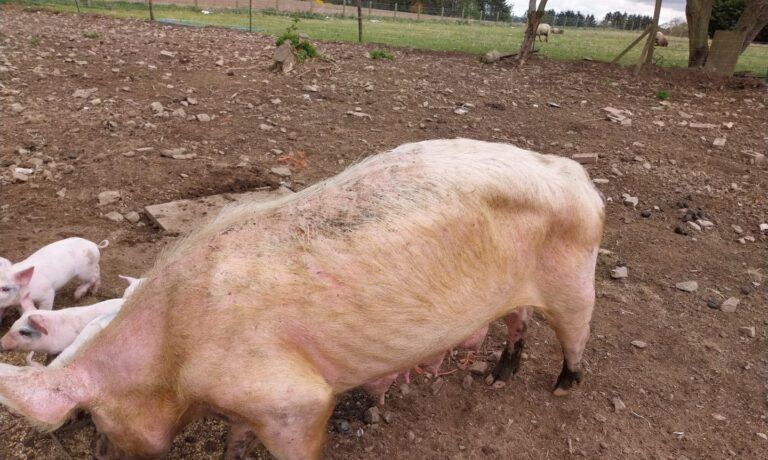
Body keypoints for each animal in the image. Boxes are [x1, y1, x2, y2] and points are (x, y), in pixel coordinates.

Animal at [0, 139, 604, 460]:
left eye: (92, 417)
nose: (98, 451)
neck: (173, 357)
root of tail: (575, 174)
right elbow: (236, 437)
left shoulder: (294, 399)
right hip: (518, 291)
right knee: (519, 322)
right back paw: (500, 377)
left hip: (576, 277)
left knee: (575, 333)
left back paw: (562, 386)